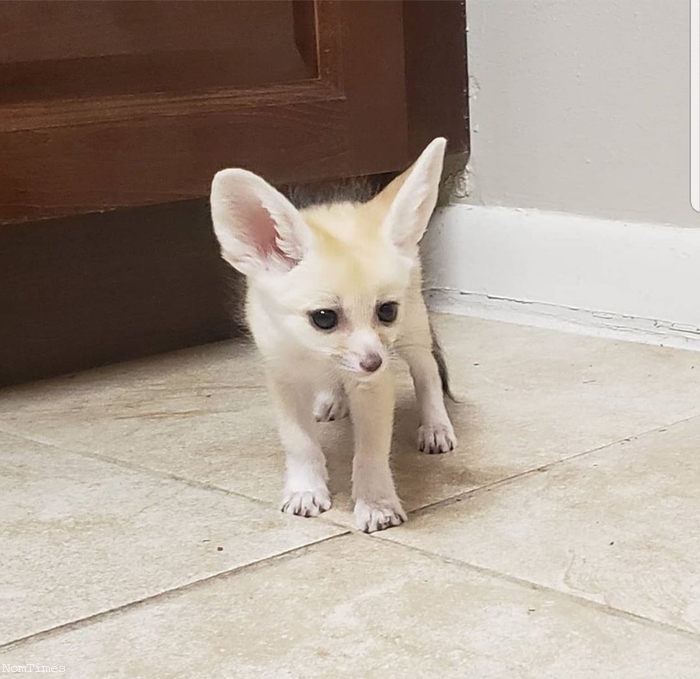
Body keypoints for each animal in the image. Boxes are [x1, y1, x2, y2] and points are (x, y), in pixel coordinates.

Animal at [210, 137, 456, 533]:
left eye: (387, 311)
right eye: (324, 318)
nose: (373, 362)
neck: (314, 356)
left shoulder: (374, 384)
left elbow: (370, 451)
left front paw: (376, 503)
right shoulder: (282, 376)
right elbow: (299, 443)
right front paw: (305, 489)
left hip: (416, 329)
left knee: (428, 373)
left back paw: (435, 425)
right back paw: (332, 399)